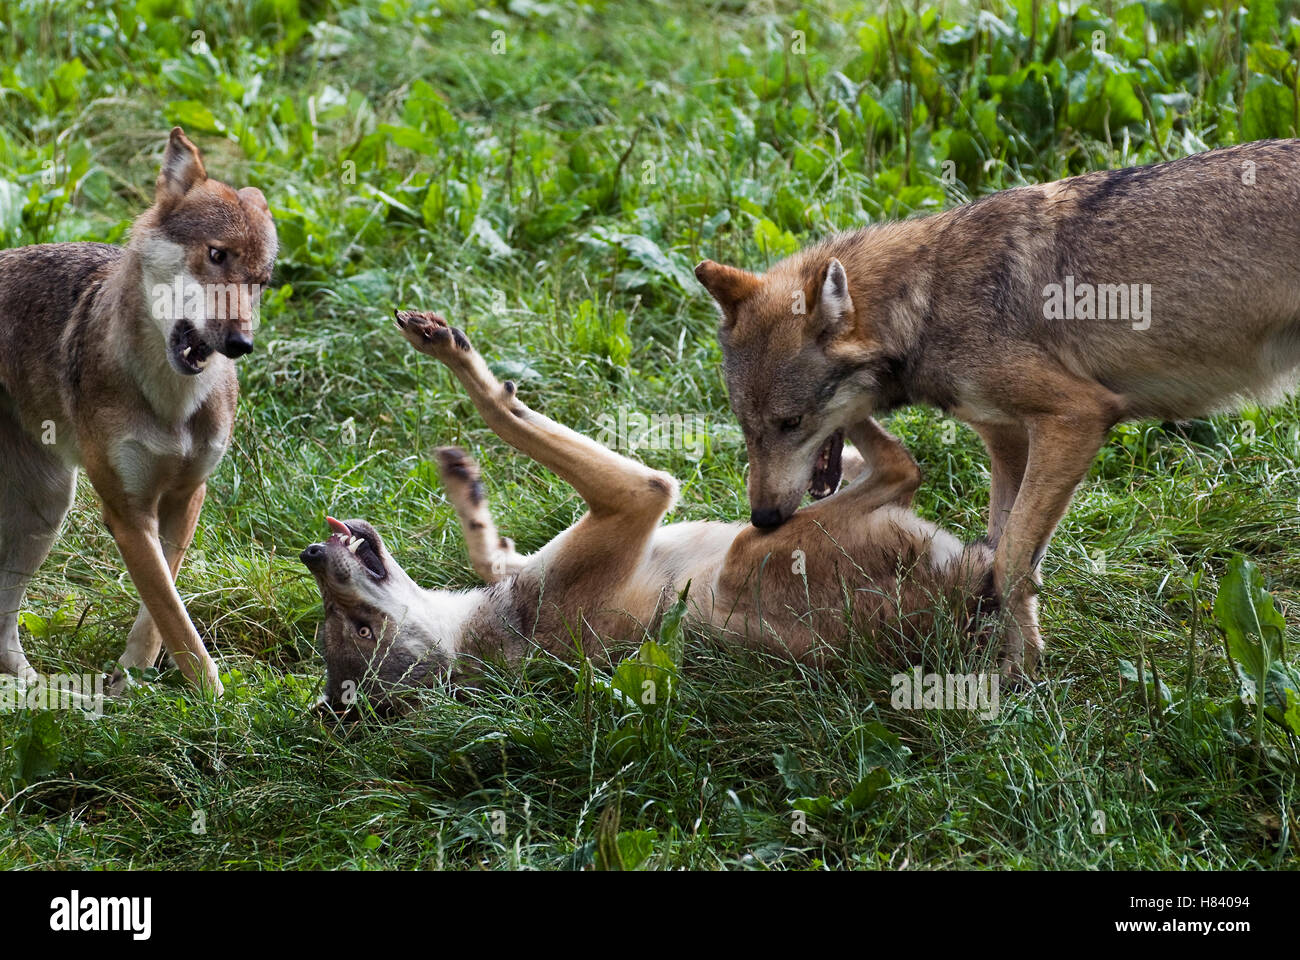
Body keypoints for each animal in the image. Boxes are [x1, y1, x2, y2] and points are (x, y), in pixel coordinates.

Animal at [0, 127, 276, 695]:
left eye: (260, 282)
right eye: (216, 255)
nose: (240, 343)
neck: (171, 405)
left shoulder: (186, 497)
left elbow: (161, 602)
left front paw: (132, 675)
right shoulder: (127, 513)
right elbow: (175, 615)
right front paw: (215, 701)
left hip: (43, 511)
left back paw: (36, 688)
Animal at [300, 310, 996, 716]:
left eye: (337, 621)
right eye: (357, 628)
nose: (310, 555)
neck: (482, 634)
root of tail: (959, 596)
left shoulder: (525, 562)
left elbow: (489, 547)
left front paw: (463, 481)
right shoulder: (641, 497)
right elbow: (501, 407)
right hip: (750, 550)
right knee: (902, 464)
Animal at [695, 139, 1300, 674]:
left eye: (791, 423)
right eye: (746, 428)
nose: (763, 520)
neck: (926, 301)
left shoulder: (1077, 416)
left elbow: (1010, 563)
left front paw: (1023, 678)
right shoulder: (1010, 443)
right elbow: (1011, 554)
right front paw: (1014, 663)